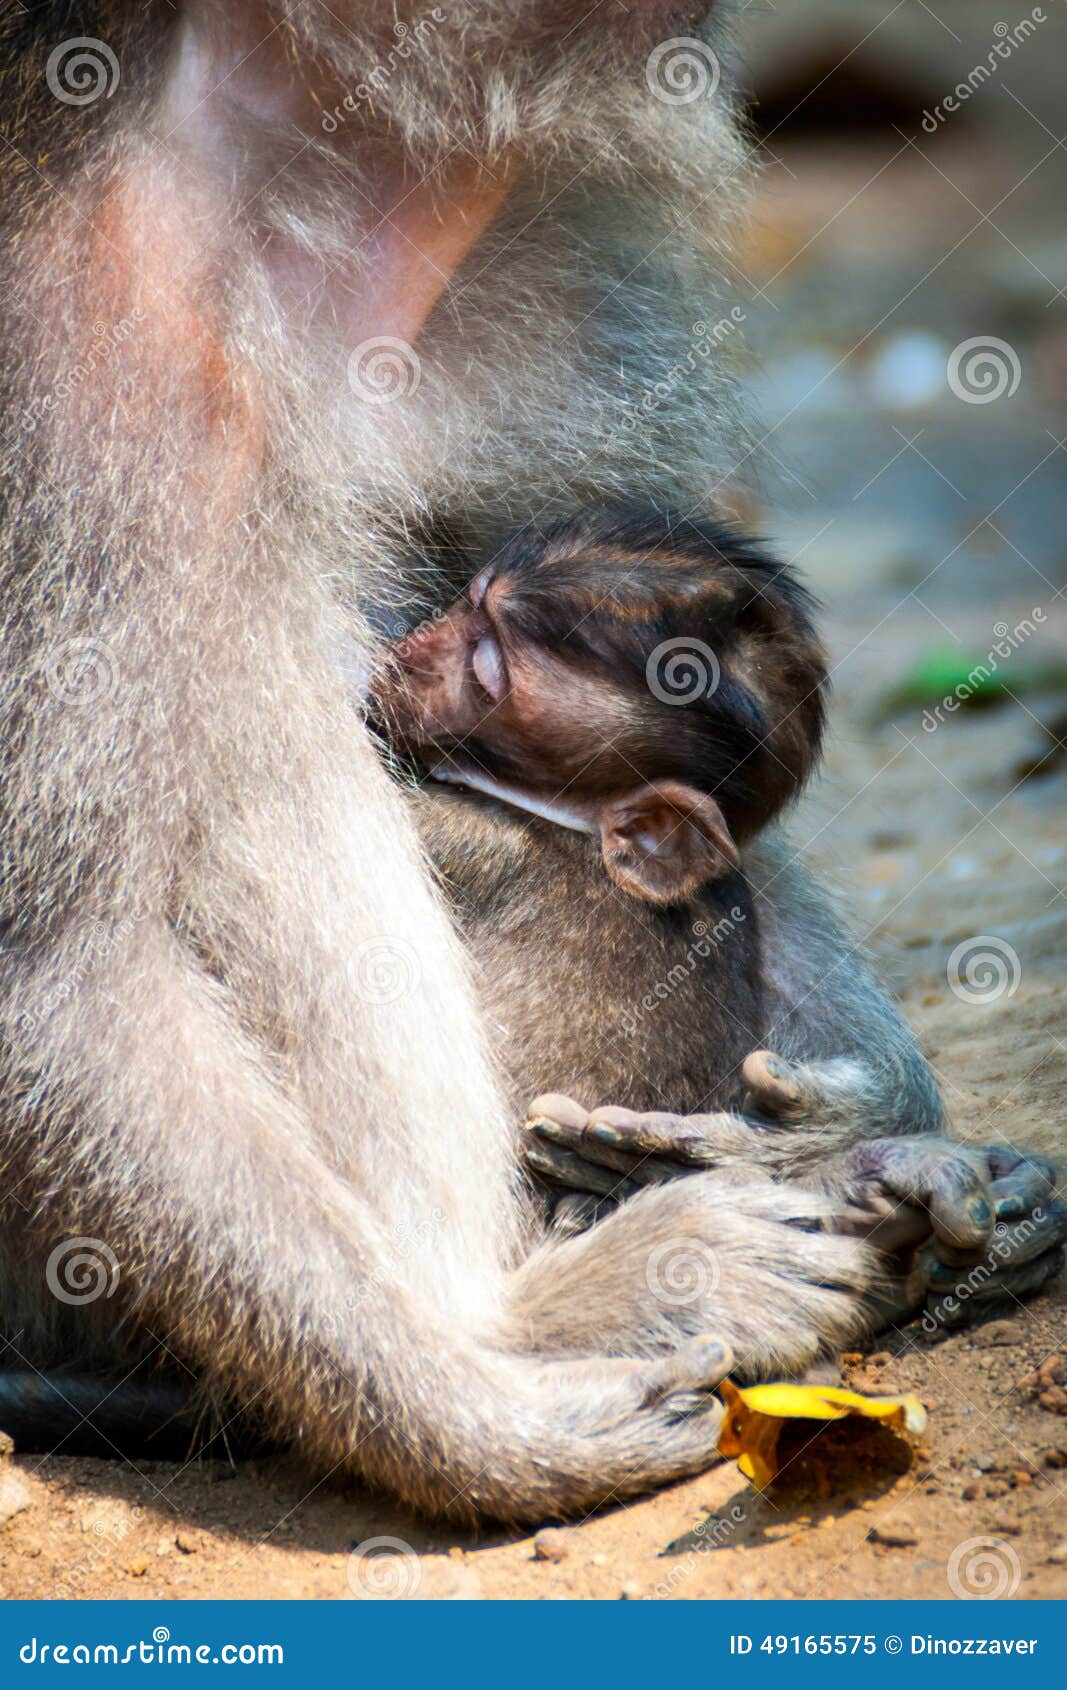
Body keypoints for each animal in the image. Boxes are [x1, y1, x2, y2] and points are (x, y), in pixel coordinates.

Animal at [0, 2, 1061, 1523]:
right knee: (258, 728)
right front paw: (466, 1413)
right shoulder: (76, 345)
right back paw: (528, 1310)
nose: (420, 671)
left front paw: (856, 1125)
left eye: (491, 645)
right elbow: (57, 948)